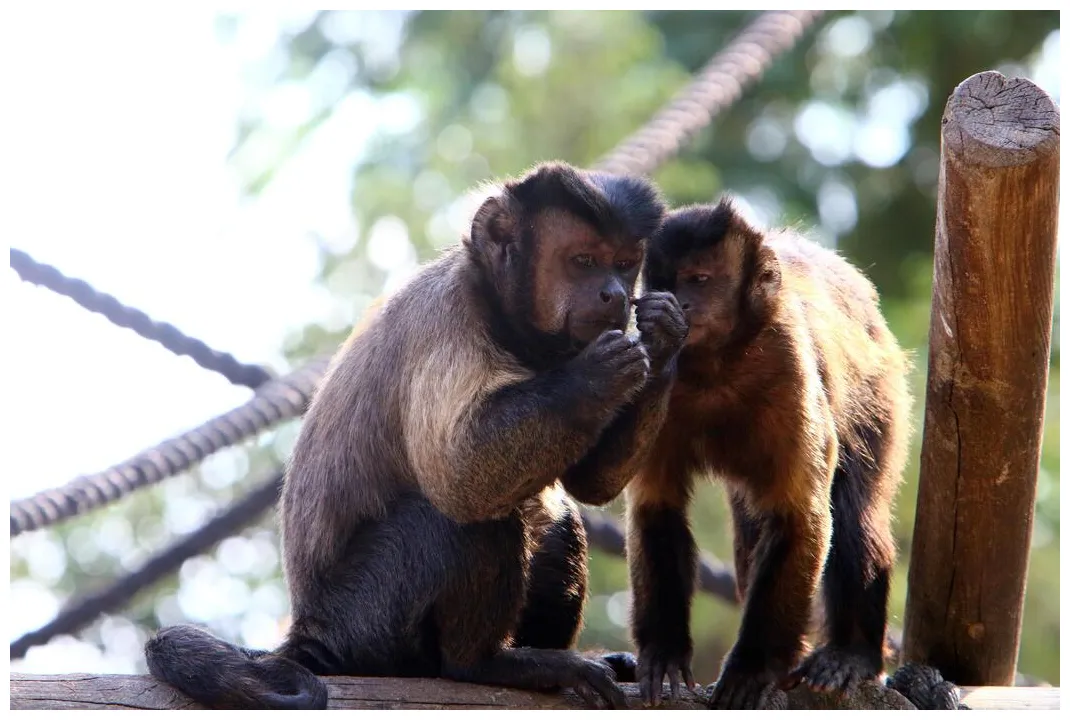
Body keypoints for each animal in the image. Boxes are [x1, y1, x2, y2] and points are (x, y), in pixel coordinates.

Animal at [144, 161, 688, 710]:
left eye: (624, 264)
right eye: (583, 261)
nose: (614, 294)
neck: (502, 318)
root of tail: (309, 633)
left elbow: (589, 485)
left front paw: (663, 340)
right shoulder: (447, 317)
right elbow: (460, 474)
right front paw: (596, 373)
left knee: (554, 518)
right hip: (363, 624)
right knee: (453, 513)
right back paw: (483, 663)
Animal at [625, 198, 912, 709]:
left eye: (698, 279)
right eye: (664, 281)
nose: (679, 302)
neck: (717, 362)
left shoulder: (786, 356)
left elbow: (801, 514)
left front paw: (753, 668)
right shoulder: (656, 369)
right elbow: (657, 506)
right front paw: (664, 652)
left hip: (881, 392)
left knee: (853, 512)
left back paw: (852, 656)